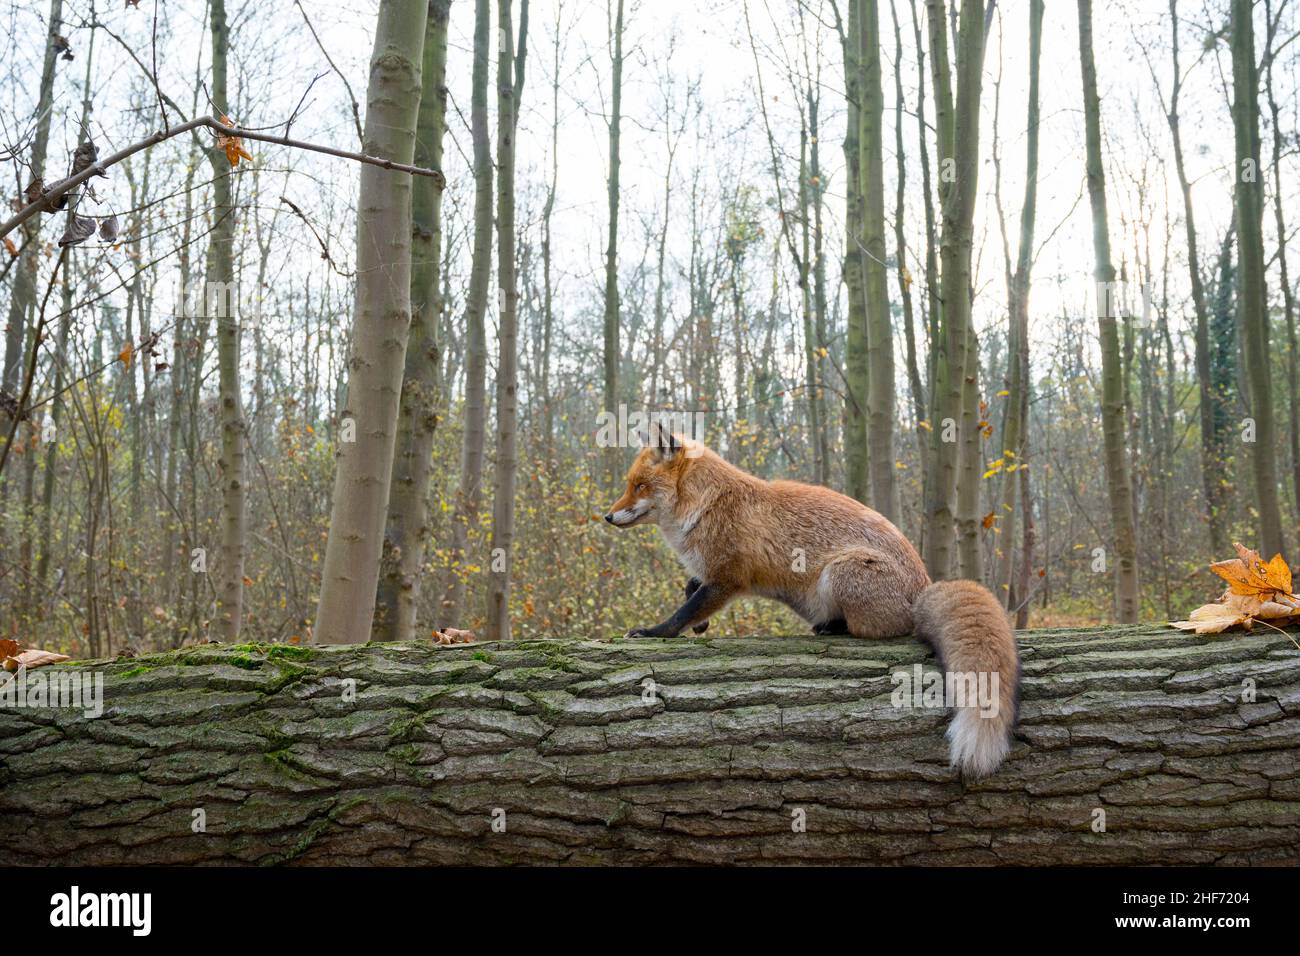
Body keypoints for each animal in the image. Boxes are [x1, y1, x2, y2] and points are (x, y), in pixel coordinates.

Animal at [603, 422, 1020, 780]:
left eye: (639, 486)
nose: (607, 517)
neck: (705, 505)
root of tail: (923, 589)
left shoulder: (728, 577)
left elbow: (682, 612)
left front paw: (654, 632)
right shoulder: (713, 575)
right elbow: (690, 591)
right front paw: (699, 624)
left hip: (839, 573)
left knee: (879, 630)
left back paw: (836, 629)